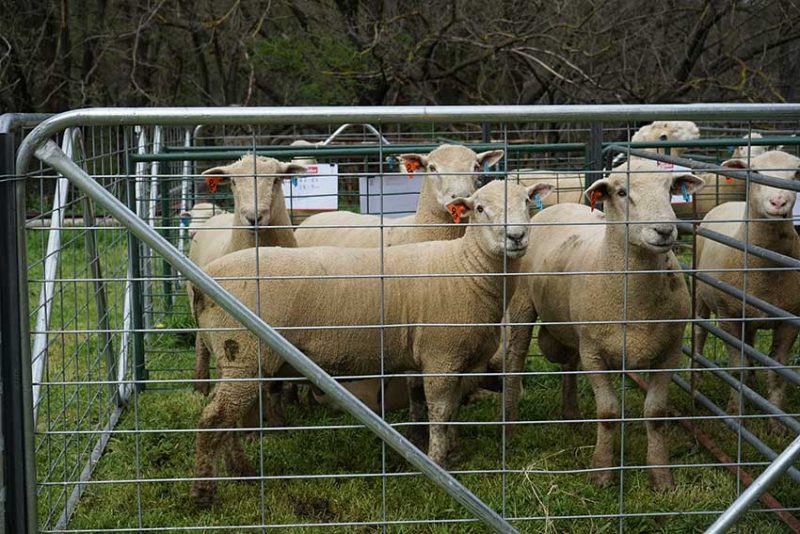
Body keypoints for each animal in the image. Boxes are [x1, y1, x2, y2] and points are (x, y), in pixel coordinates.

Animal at [187, 154, 306, 396]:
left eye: (276, 180)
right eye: (233, 182)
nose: (253, 217)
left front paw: (289, 394)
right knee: (201, 341)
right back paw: (200, 386)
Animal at [188, 180, 552, 506]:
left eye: (527, 203)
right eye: (479, 208)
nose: (516, 237)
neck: (467, 269)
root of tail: (206, 280)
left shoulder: (465, 361)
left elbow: (451, 412)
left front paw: (453, 451)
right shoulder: (440, 356)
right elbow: (439, 411)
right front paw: (438, 464)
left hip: (236, 357)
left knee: (227, 416)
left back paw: (241, 471)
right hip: (245, 351)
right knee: (213, 419)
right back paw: (204, 492)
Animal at [492, 157, 705, 490]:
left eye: (670, 188)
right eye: (621, 192)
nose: (664, 230)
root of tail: (557, 206)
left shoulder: (668, 352)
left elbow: (656, 413)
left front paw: (661, 476)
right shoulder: (595, 354)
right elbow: (607, 412)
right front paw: (602, 471)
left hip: (573, 327)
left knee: (569, 363)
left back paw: (572, 415)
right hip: (522, 303)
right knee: (515, 360)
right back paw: (510, 425)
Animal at [694, 151, 800, 434]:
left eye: (796, 174)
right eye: (756, 172)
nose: (778, 202)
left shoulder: (789, 321)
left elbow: (776, 373)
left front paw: (777, 423)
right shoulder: (728, 317)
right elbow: (737, 367)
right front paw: (735, 413)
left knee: (750, 344)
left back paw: (752, 387)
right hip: (701, 297)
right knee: (699, 333)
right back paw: (696, 377)